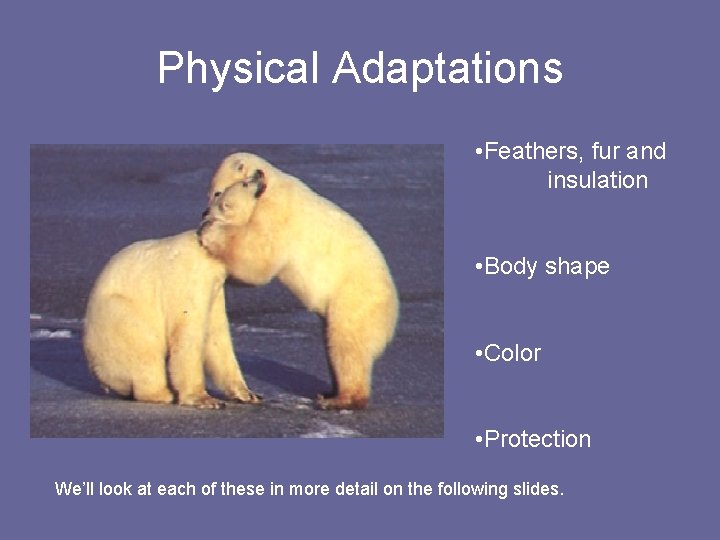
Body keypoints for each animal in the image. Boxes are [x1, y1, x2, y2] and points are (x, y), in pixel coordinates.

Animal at [83, 178, 265, 409]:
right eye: (244, 183)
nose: (260, 175)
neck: (206, 250)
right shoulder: (188, 281)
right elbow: (187, 333)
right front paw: (204, 399)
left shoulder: (214, 289)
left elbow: (216, 335)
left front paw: (248, 394)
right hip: (118, 318)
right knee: (144, 347)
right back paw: (163, 393)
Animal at [198, 153, 399, 410]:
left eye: (216, 193)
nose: (205, 211)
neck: (271, 183)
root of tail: (392, 315)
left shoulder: (274, 211)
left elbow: (259, 255)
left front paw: (211, 232)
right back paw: (328, 391)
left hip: (353, 300)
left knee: (346, 345)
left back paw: (340, 399)